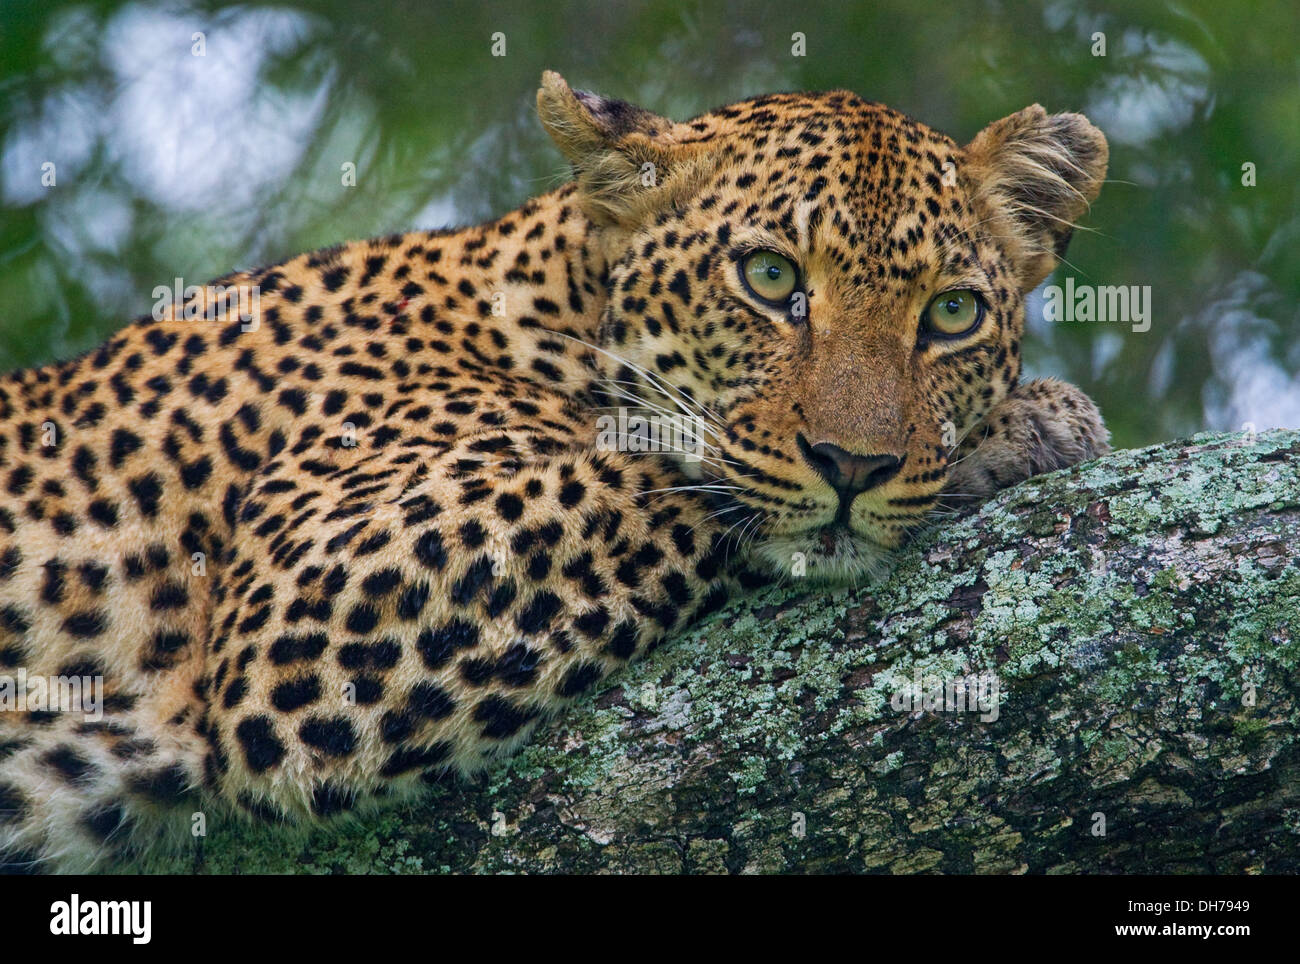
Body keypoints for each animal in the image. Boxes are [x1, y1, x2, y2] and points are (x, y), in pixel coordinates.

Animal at [0, 71, 1109, 872]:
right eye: (769, 277)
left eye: (952, 313)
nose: (854, 463)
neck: (546, 310)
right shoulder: (312, 601)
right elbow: (662, 477)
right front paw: (1030, 426)